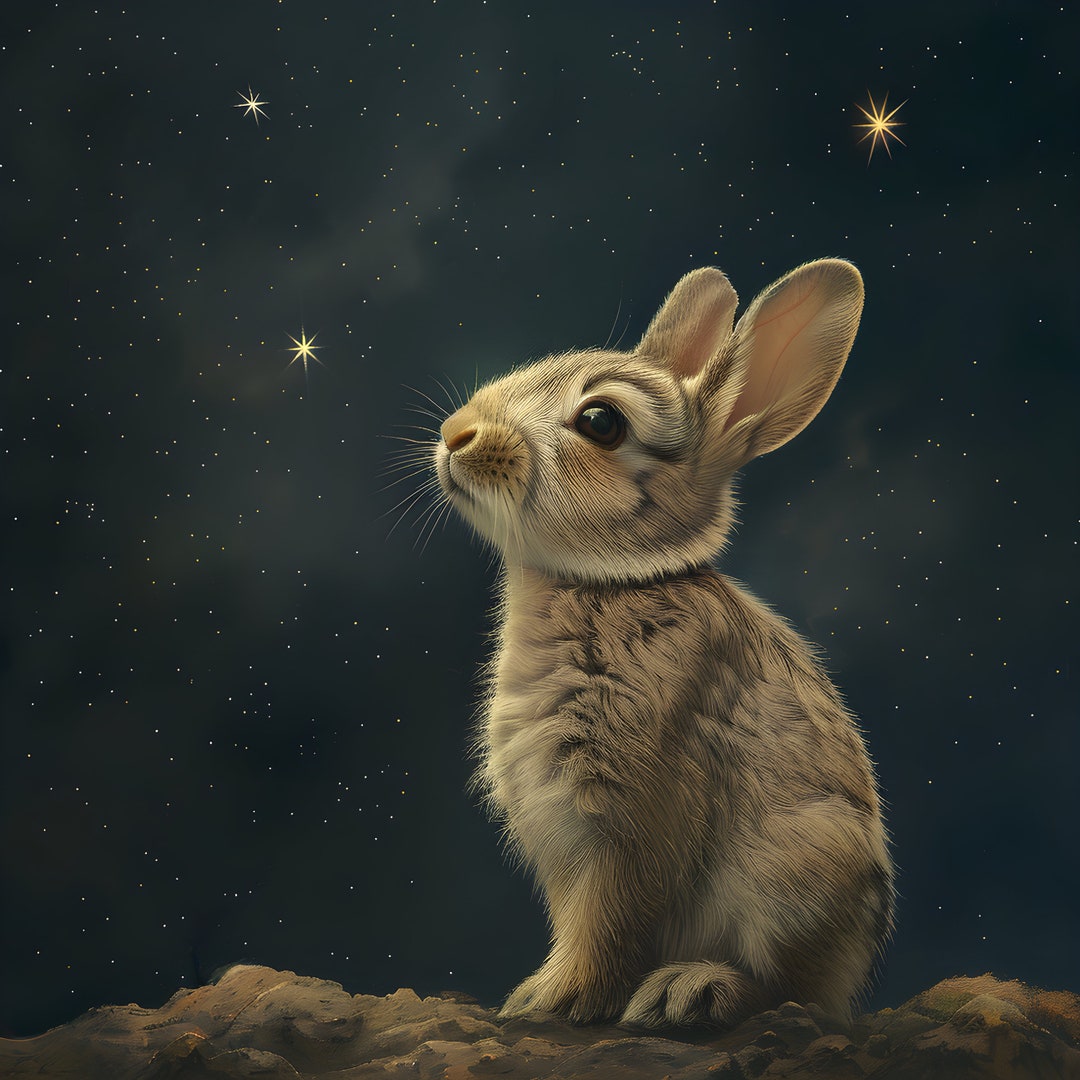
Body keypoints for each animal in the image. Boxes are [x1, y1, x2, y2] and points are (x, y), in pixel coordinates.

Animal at [431, 258, 893, 1028]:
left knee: (784, 988)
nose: (455, 433)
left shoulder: (636, 807)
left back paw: (690, 990)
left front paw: (556, 1000)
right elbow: (579, 915)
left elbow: (612, 919)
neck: (611, 583)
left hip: (797, 869)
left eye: (601, 422)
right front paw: (534, 993)